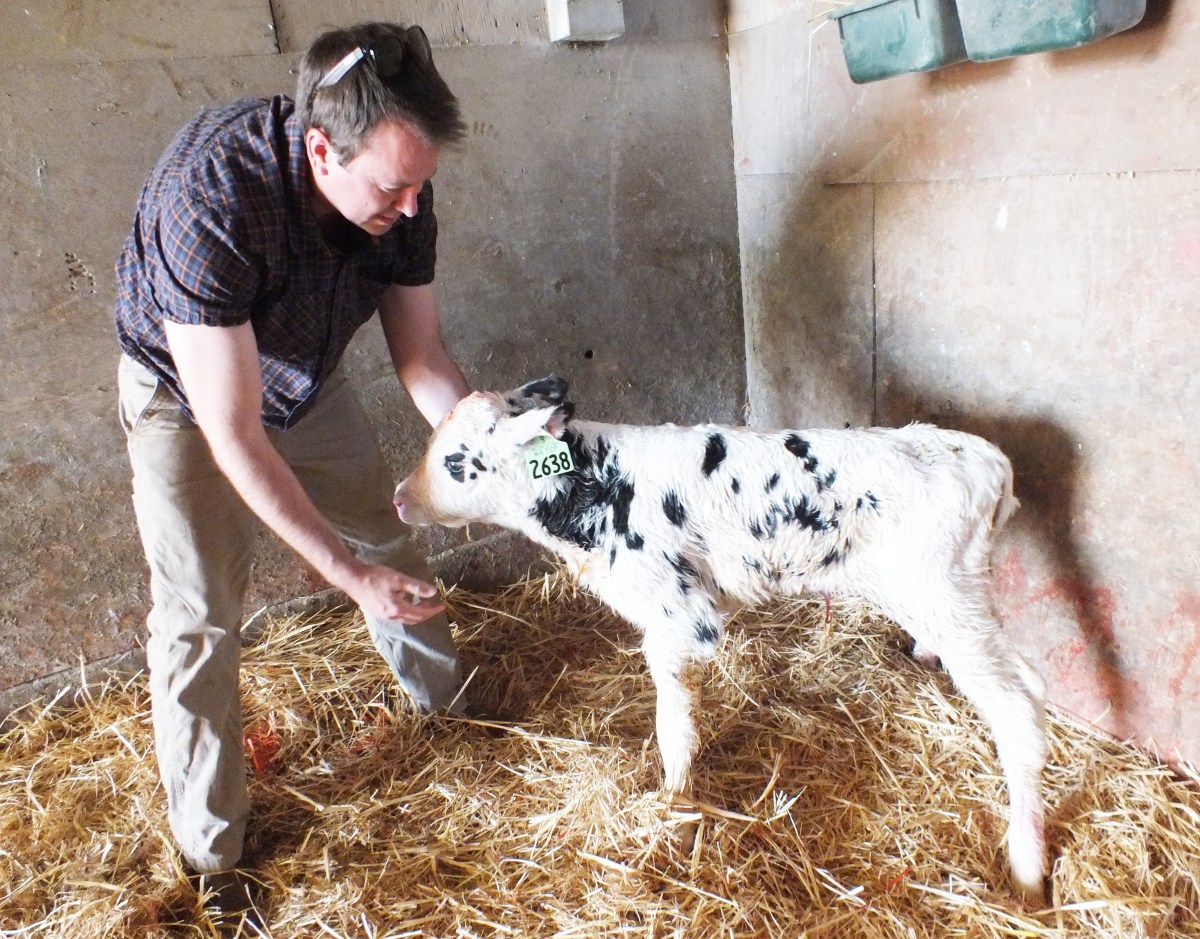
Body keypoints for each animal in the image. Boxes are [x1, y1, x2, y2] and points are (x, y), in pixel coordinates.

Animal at [394, 377, 1048, 900]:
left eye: (455, 461)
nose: (400, 497)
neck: (597, 491)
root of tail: (983, 455)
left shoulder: (678, 614)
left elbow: (674, 719)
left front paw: (676, 808)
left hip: (942, 596)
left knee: (1019, 709)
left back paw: (1027, 868)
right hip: (955, 601)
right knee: (1030, 682)